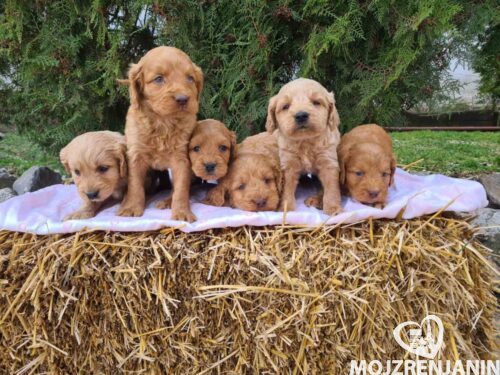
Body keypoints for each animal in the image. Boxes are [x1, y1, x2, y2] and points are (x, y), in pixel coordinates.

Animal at [117, 47, 203, 223]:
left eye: (190, 78)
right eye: (158, 79)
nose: (183, 99)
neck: (163, 122)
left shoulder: (182, 158)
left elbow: (181, 188)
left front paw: (182, 211)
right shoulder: (136, 154)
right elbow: (135, 184)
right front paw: (131, 207)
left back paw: (167, 201)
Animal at [266, 78, 344, 216]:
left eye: (316, 102)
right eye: (285, 106)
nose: (301, 115)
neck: (305, 141)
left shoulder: (328, 162)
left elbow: (331, 187)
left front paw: (333, 208)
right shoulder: (288, 165)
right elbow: (286, 189)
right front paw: (286, 208)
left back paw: (316, 200)